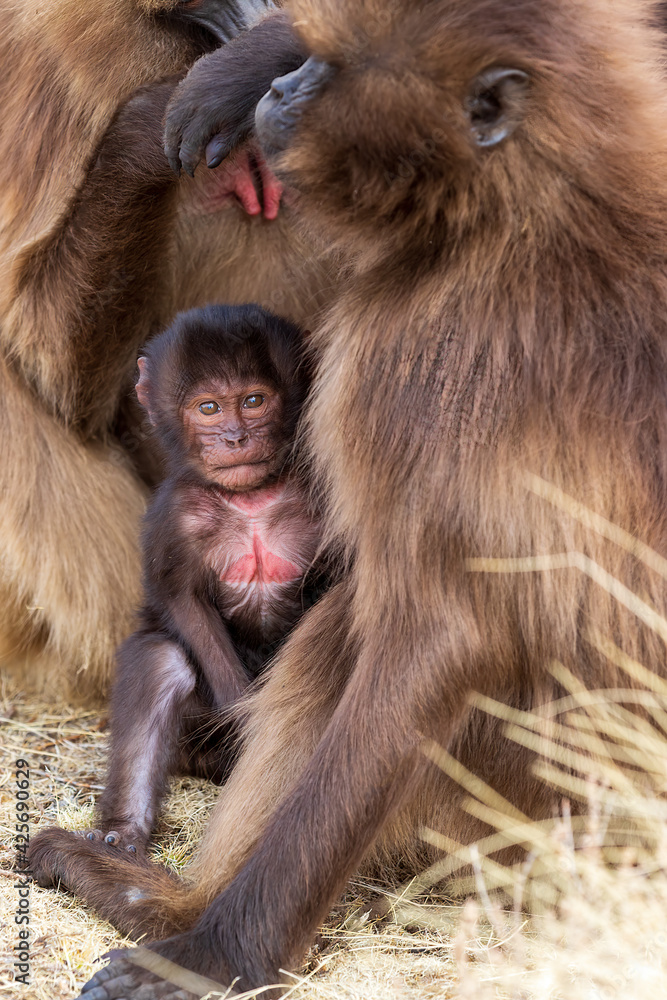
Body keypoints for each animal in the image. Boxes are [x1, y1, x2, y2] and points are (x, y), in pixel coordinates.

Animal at [86, 303, 322, 856]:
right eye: (209, 408)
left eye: (254, 401)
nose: (235, 438)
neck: (251, 499)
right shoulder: (173, 516)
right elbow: (185, 603)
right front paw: (250, 720)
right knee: (160, 662)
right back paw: (123, 833)